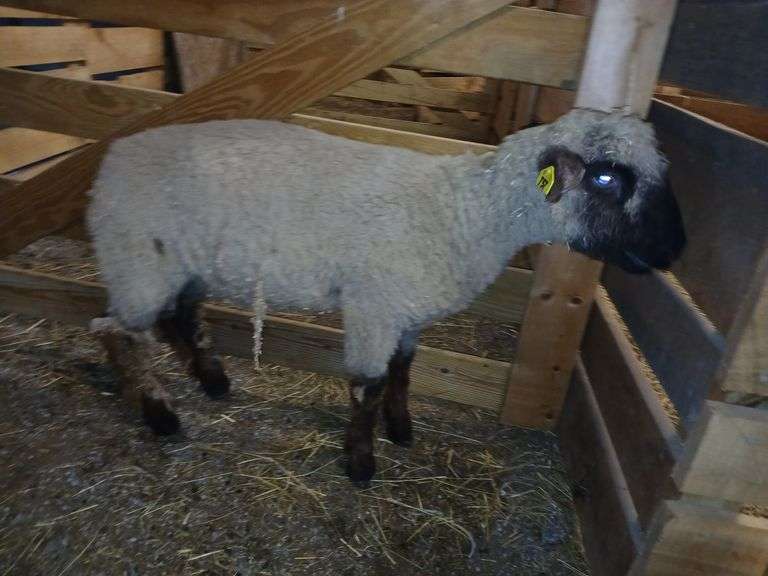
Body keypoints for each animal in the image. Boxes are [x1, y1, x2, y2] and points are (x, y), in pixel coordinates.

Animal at [86, 108, 686, 483]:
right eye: (607, 178)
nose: (674, 248)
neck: (464, 213)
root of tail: (110, 157)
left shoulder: (408, 310)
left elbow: (403, 372)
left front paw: (400, 430)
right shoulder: (374, 306)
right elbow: (368, 386)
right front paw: (360, 462)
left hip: (181, 264)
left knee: (178, 318)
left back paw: (211, 380)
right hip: (137, 261)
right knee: (119, 334)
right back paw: (159, 412)